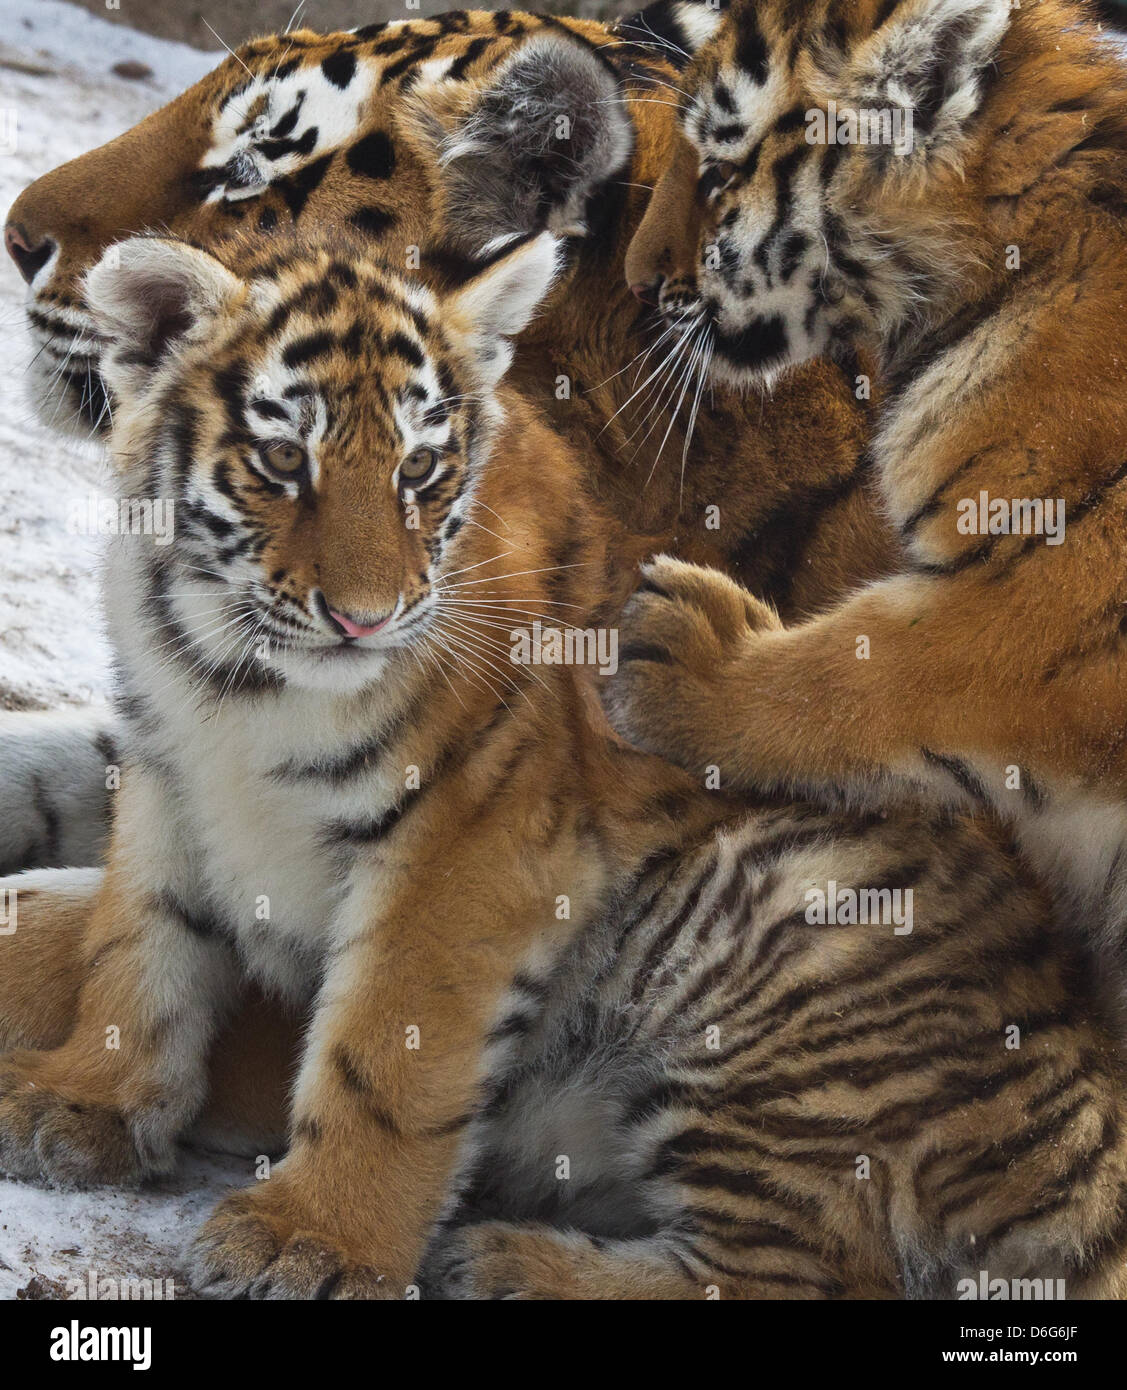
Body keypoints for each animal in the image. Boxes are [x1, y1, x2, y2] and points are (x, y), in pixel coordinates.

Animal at [4, 224, 1127, 1301]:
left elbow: (382, 1055)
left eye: (419, 471)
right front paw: (86, 1104)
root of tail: (1080, 1106)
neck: (232, 678)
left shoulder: (470, 845)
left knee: (808, 1273)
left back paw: (506, 1263)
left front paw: (309, 1240)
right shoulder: (169, 774)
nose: (366, 617)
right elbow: (137, 948)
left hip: (773, 938)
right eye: (283, 460)